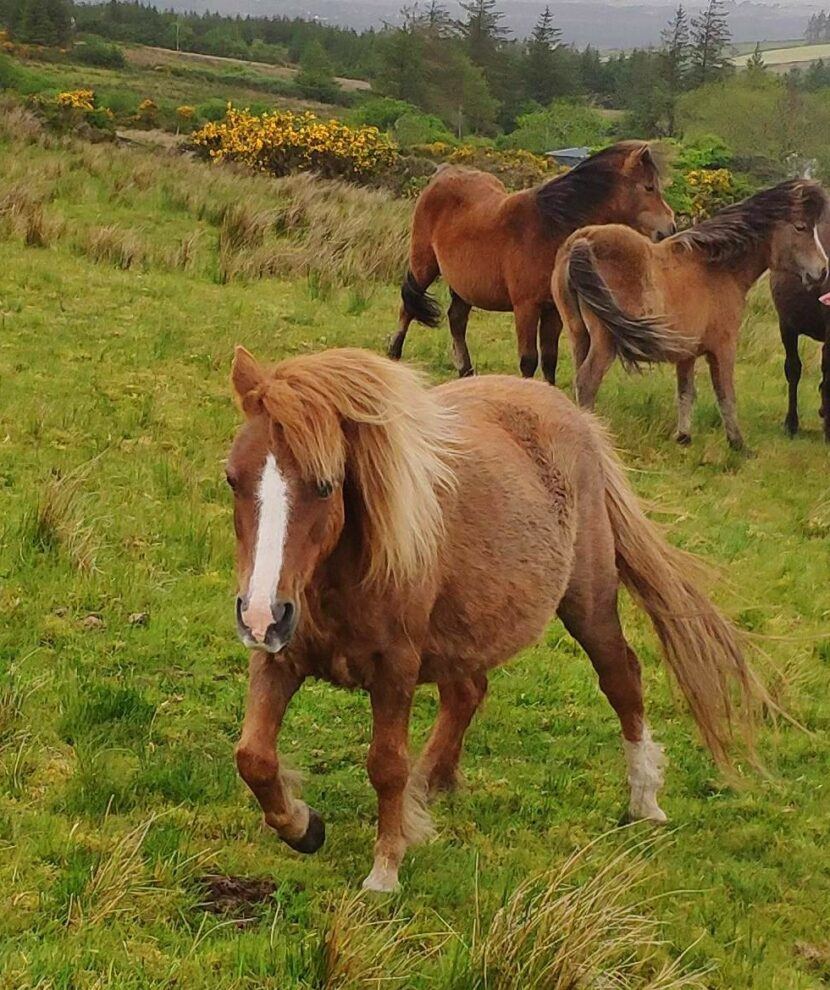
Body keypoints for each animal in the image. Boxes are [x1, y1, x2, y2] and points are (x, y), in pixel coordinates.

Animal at [227, 345, 764, 892]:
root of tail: (576, 417)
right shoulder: (279, 658)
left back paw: (645, 799)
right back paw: (430, 787)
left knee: (622, 679)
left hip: (589, 602)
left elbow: (386, 765)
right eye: (232, 478)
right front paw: (304, 826)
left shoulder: (395, 669)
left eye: (325, 486)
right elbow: (254, 757)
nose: (260, 613)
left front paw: (385, 869)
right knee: (468, 693)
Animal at [388, 141, 676, 384]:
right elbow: (528, 360)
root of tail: (443, 175)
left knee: (456, 320)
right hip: (423, 265)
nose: (669, 227)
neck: (549, 228)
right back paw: (394, 354)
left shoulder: (552, 310)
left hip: (464, 286)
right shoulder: (525, 307)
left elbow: (549, 359)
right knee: (408, 306)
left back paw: (466, 371)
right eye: (649, 187)